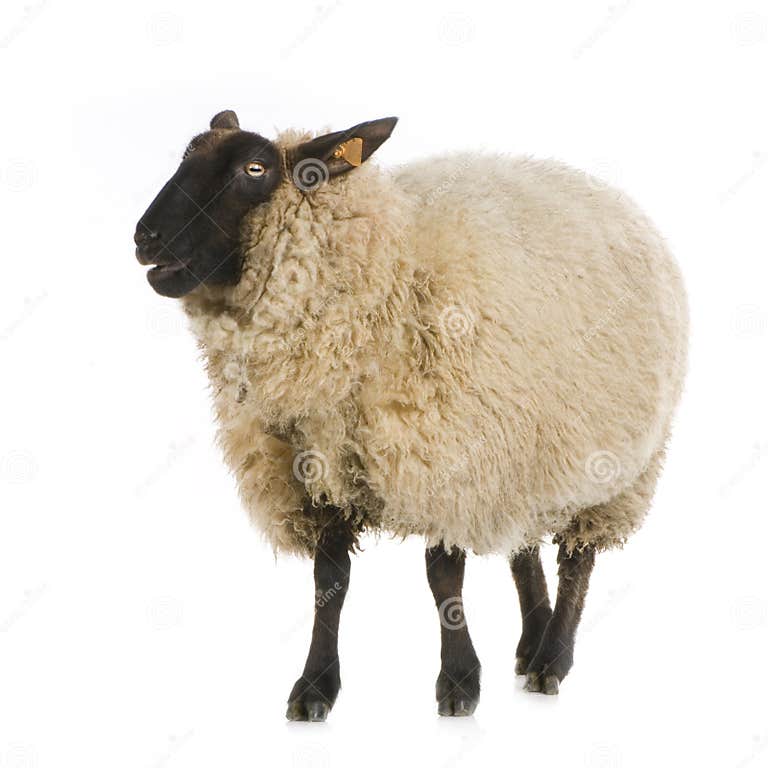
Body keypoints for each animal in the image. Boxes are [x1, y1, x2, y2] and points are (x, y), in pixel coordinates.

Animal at [134, 109, 689, 721]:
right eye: (186, 155)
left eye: (254, 170)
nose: (145, 238)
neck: (381, 287)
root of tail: (601, 190)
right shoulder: (316, 466)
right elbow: (330, 578)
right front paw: (316, 686)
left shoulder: (441, 449)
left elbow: (443, 576)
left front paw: (459, 681)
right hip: (525, 448)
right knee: (522, 544)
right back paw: (532, 640)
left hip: (614, 462)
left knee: (578, 557)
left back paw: (552, 659)